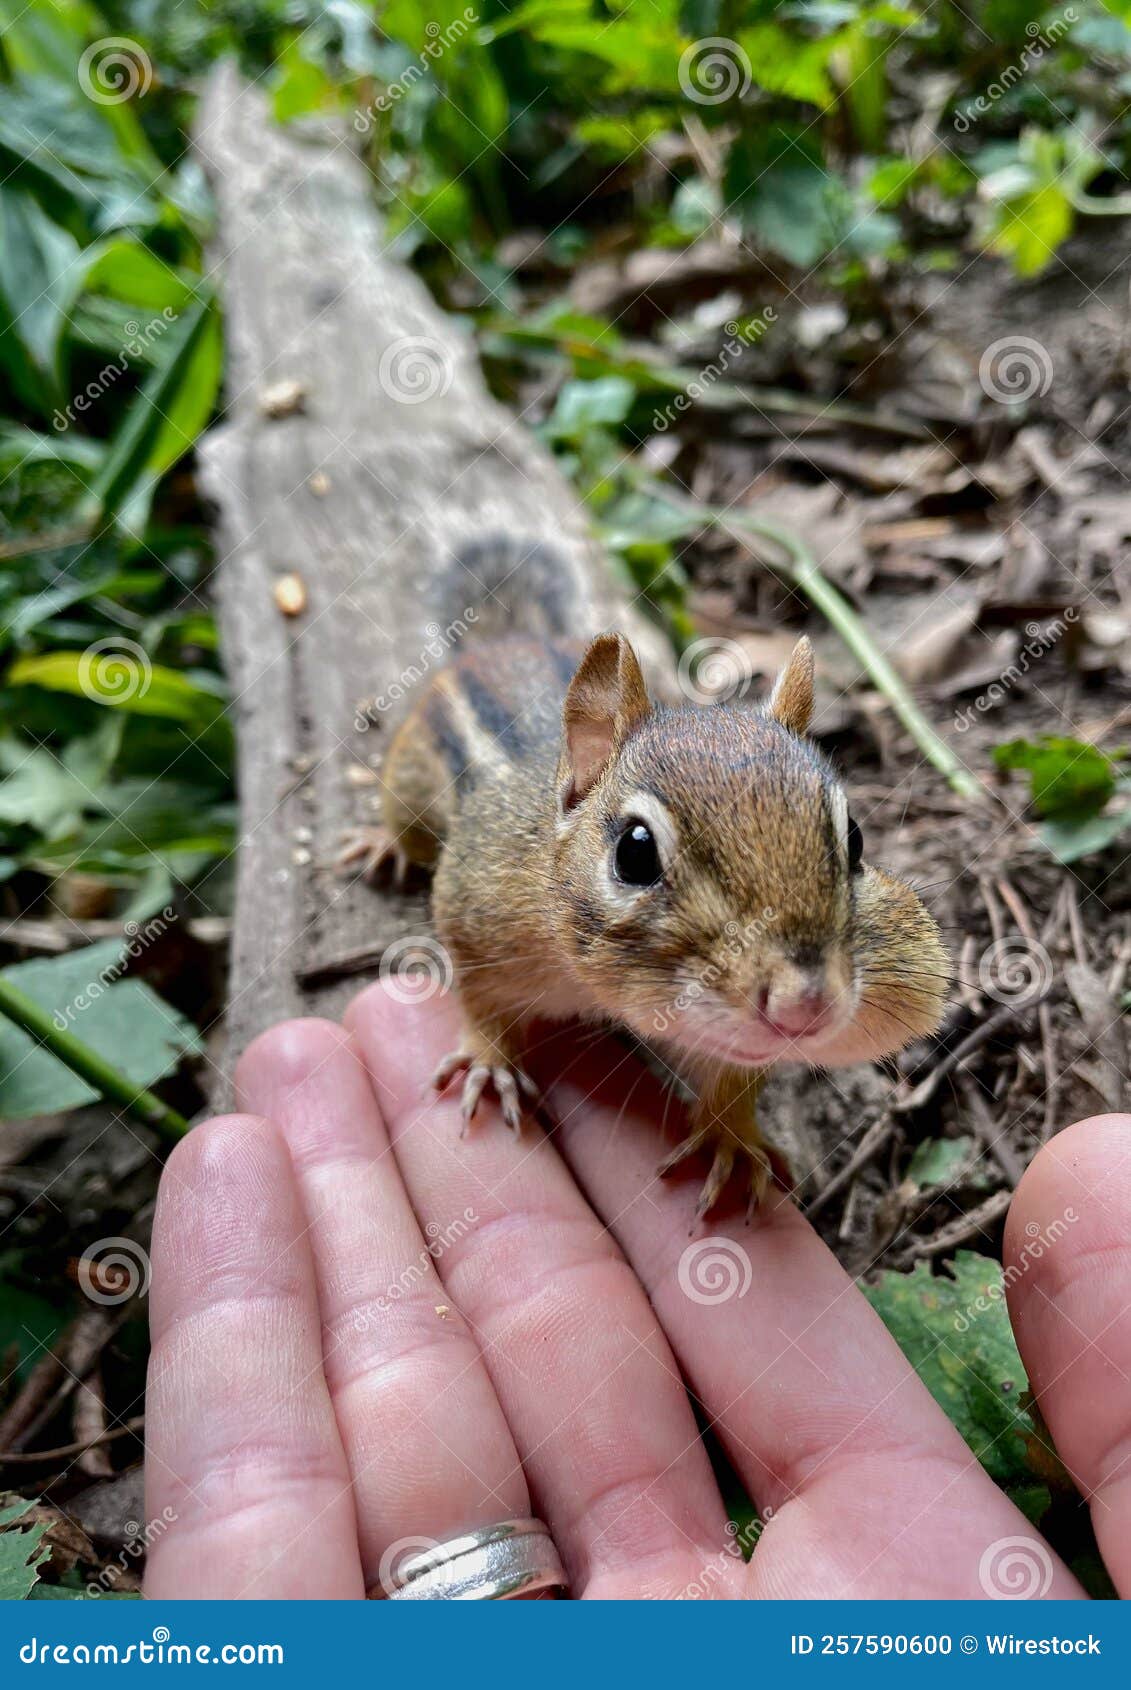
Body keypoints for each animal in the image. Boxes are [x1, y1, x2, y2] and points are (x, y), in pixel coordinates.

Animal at [342, 538, 950, 1222]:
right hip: (410, 787)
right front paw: (490, 1061)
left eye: (856, 839)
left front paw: (730, 1135)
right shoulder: (473, 912)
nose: (805, 1006)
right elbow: (479, 999)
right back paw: (381, 842)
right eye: (635, 853)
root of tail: (512, 638)